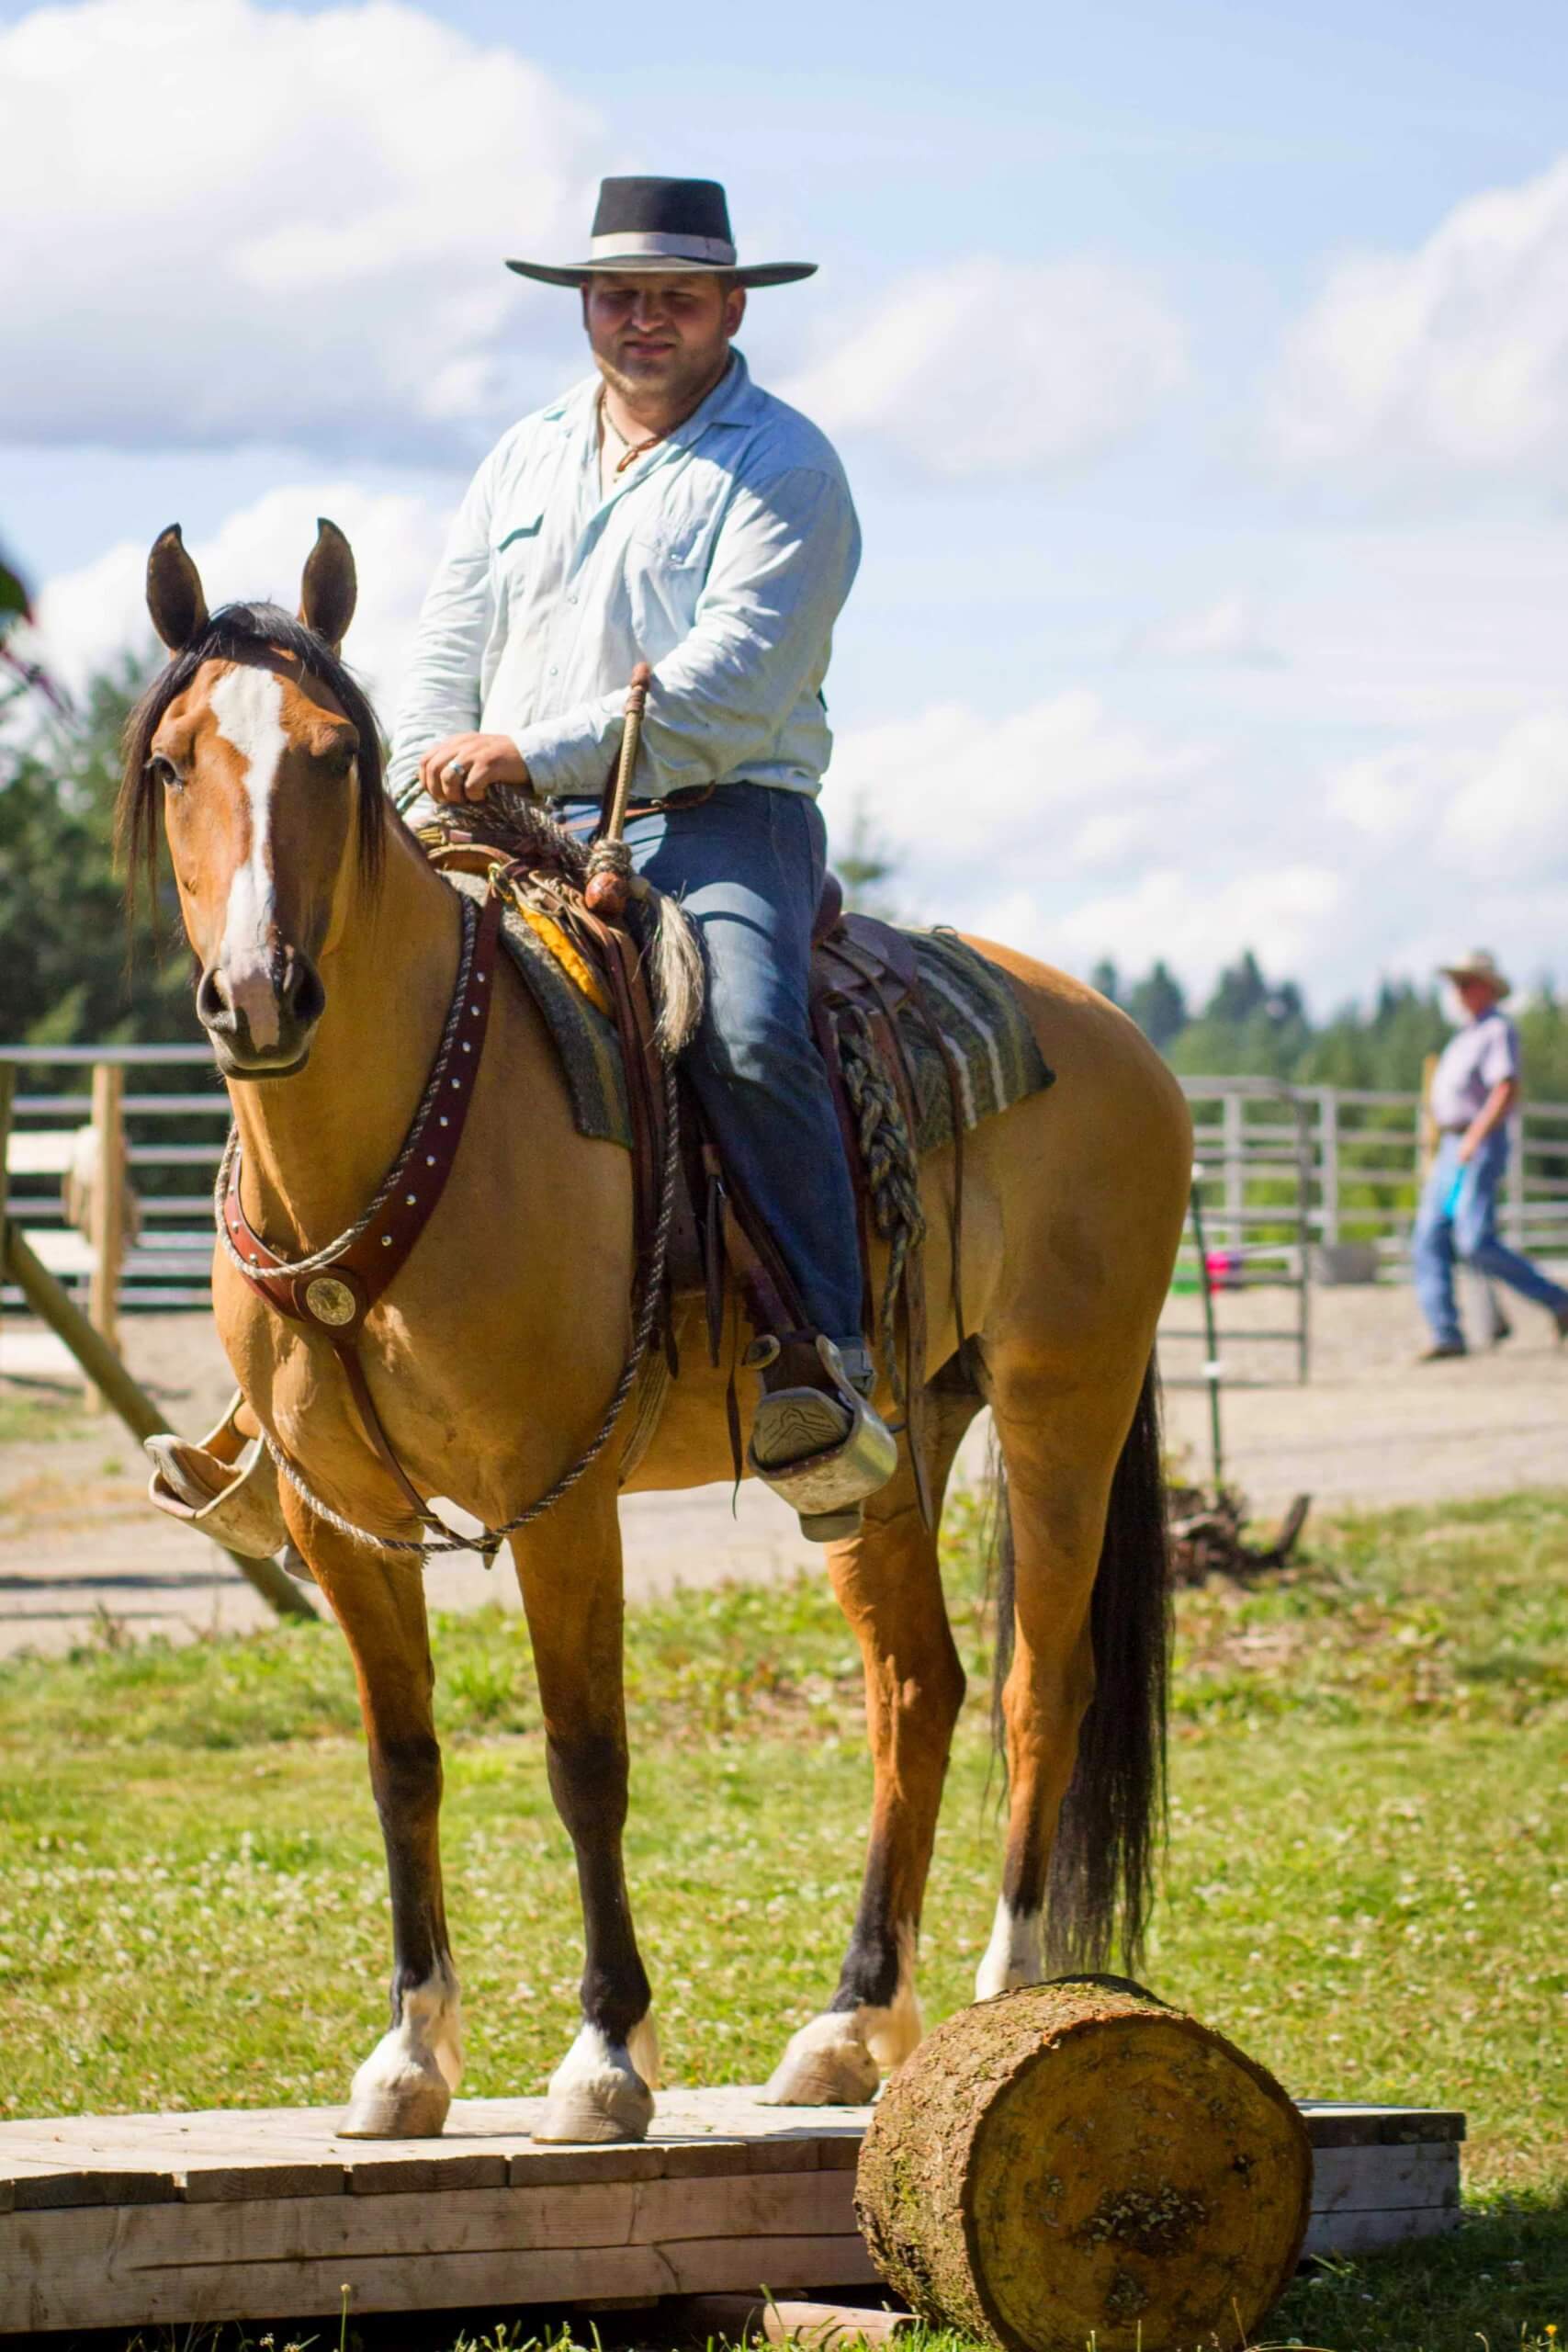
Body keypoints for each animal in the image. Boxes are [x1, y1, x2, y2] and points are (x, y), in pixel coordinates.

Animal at [120, 520, 1192, 2144]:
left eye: (331, 757)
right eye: (178, 760)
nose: (257, 992)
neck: (407, 1135)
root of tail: (1114, 1032)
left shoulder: (560, 1499)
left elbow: (584, 1761)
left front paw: (605, 2057)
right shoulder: (341, 1524)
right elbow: (402, 1764)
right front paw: (408, 2058)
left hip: (1064, 1398)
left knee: (1035, 1687)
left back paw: (1002, 2001)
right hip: (893, 1446)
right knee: (916, 1690)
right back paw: (848, 2027)